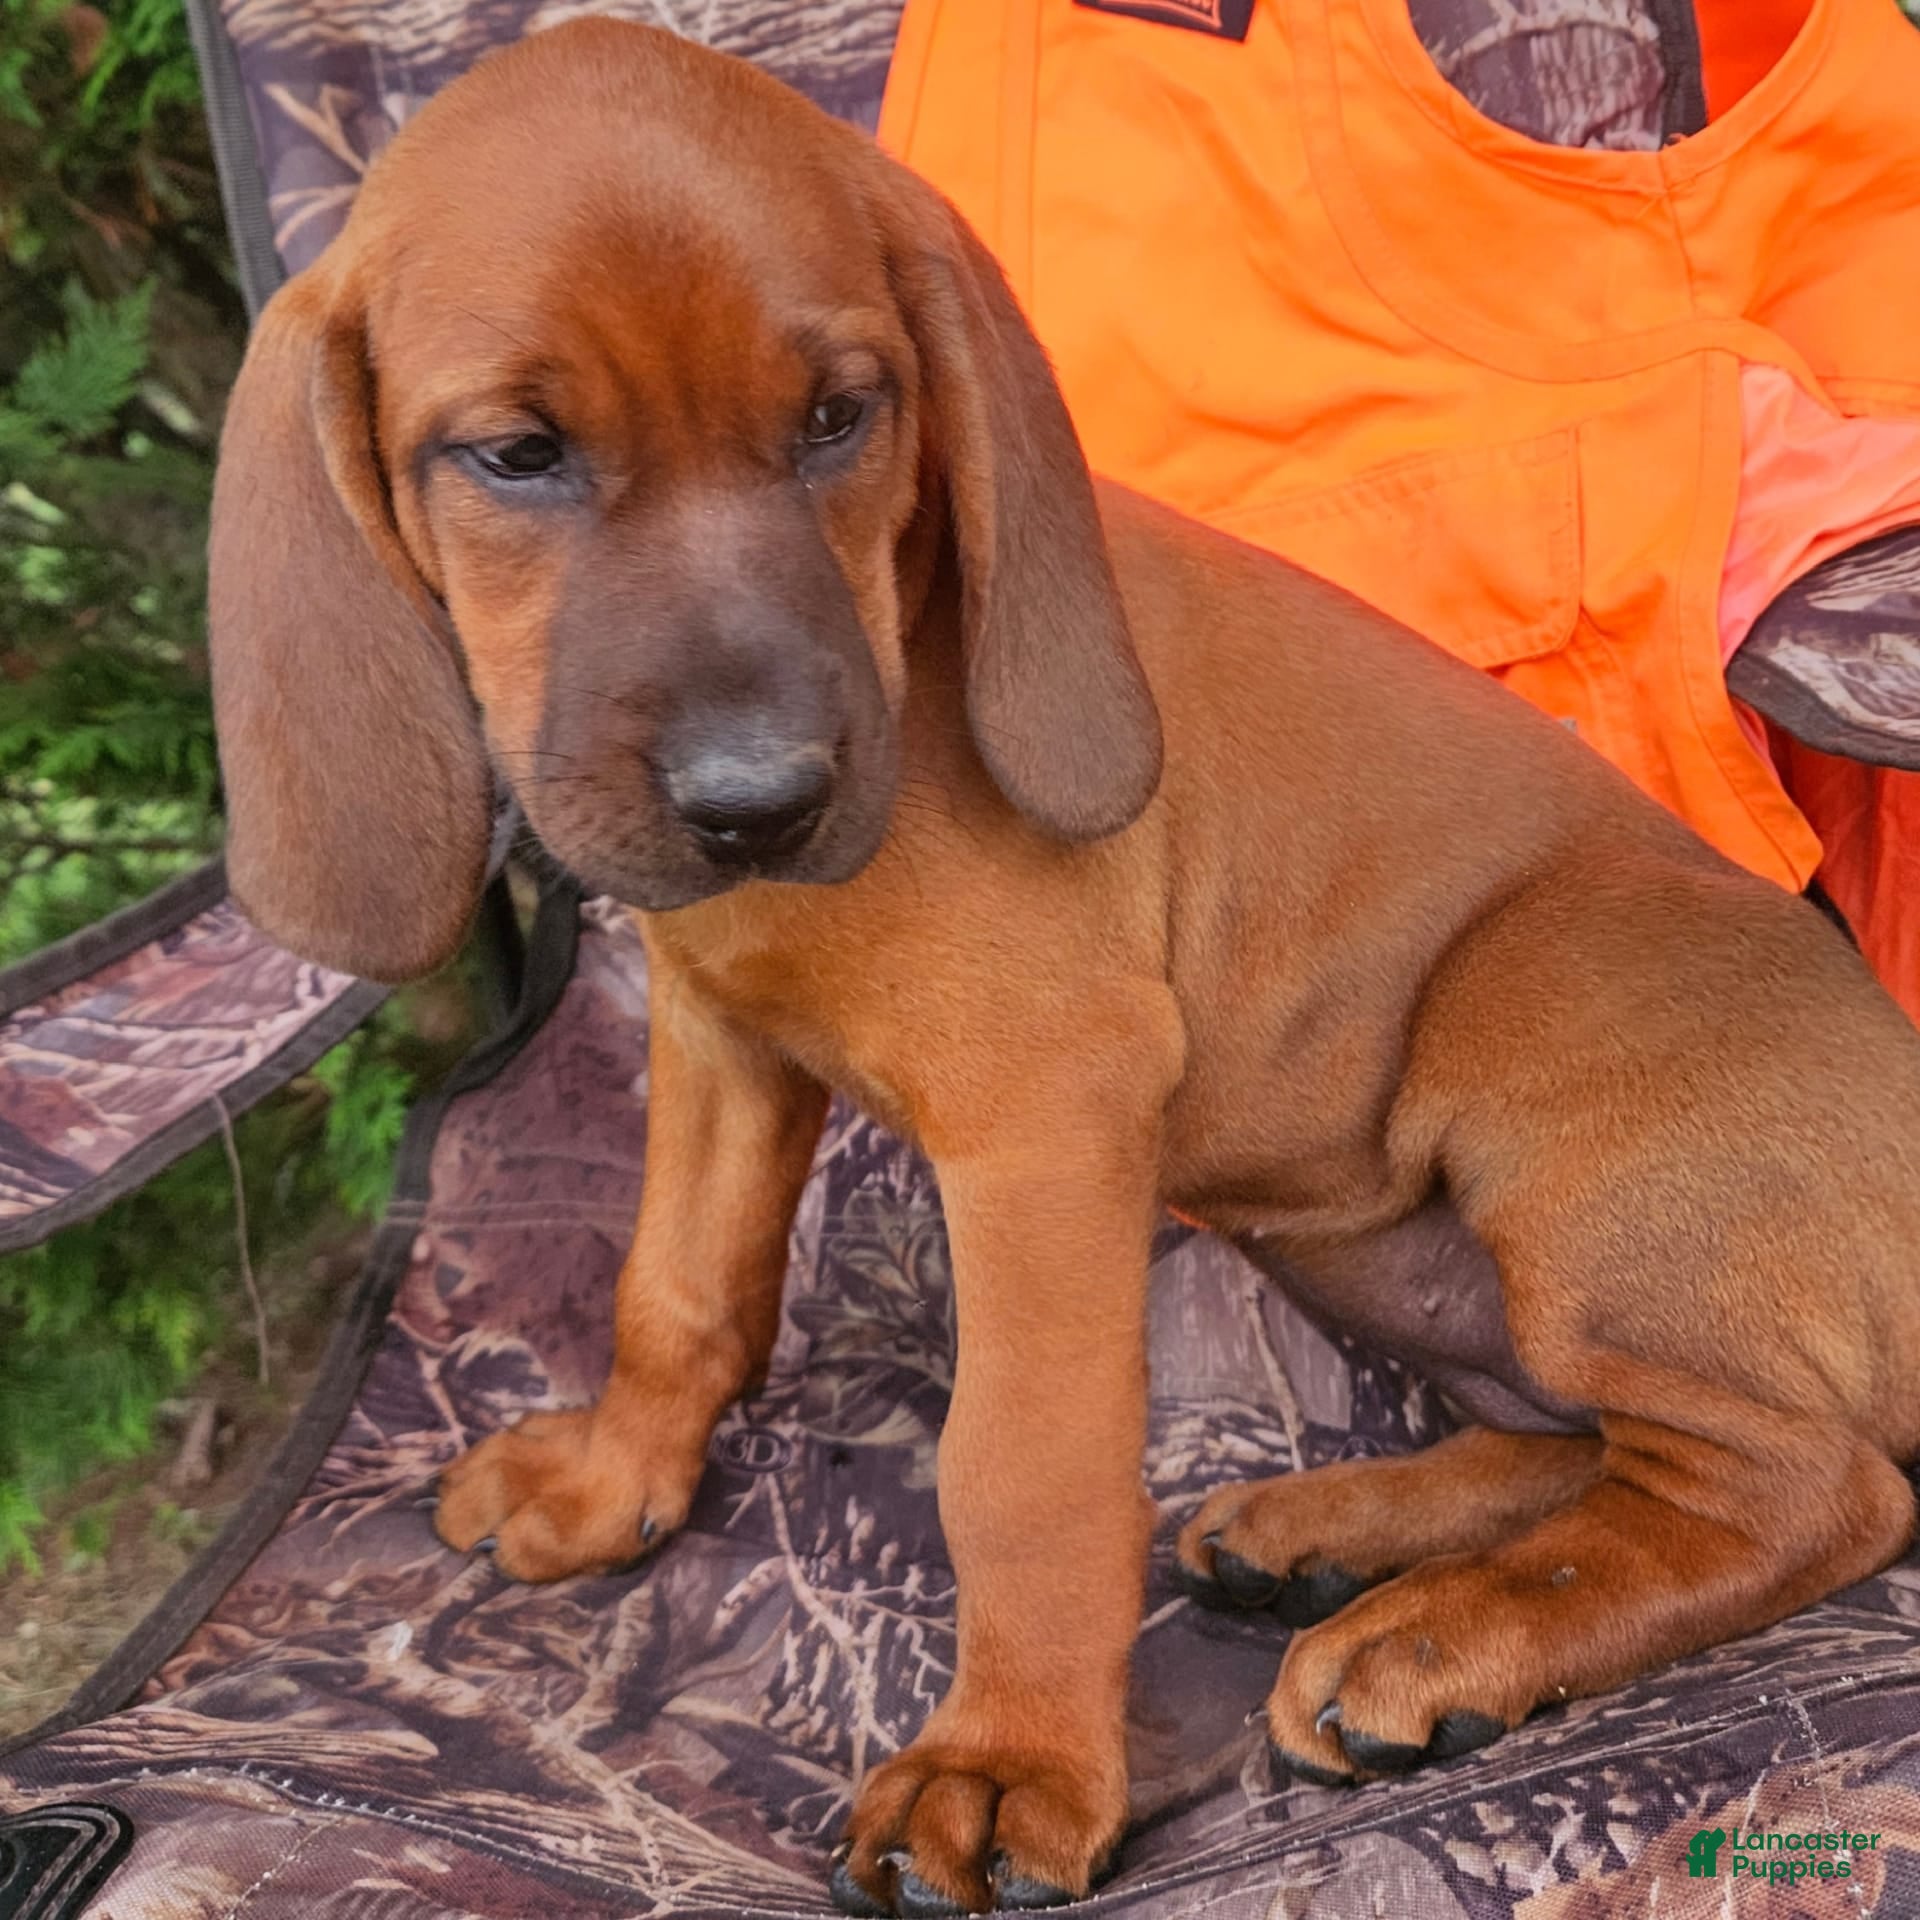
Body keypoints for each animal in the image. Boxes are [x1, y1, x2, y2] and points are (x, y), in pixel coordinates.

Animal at [206, 20, 1920, 1915]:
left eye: (840, 416)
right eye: (514, 454)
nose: (759, 798)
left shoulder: (1045, 1120)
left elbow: (1020, 1467)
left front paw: (1008, 1759)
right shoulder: (721, 1040)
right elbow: (677, 1290)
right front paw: (611, 1480)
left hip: (1539, 1051)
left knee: (1808, 1493)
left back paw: (1435, 1639)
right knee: (1598, 1441)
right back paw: (1331, 1535)